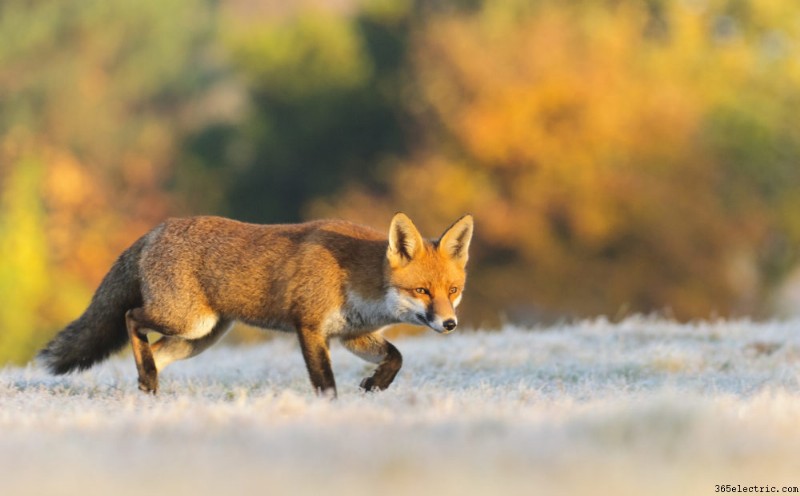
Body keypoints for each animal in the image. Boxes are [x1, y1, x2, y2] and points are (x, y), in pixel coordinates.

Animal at [37, 212, 472, 396]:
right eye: (422, 291)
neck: (356, 276)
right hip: (186, 321)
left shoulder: (352, 334)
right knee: (130, 317)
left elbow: (396, 357)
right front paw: (331, 409)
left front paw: (376, 385)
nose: (450, 324)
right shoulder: (309, 327)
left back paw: (147, 389)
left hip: (201, 337)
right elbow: (325, 382)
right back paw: (147, 382)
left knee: (152, 355)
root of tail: (157, 229)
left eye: (452, 290)